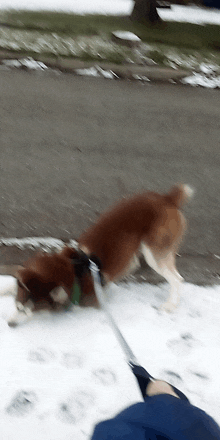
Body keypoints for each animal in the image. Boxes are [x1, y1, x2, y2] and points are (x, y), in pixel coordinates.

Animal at [6, 183, 192, 326]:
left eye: (27, 311)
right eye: (17, 305)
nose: (10, 324)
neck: (73, 268)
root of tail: (166, 198)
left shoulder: (90, 300)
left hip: (154, 250)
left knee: (177, 278)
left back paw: (170, 304)